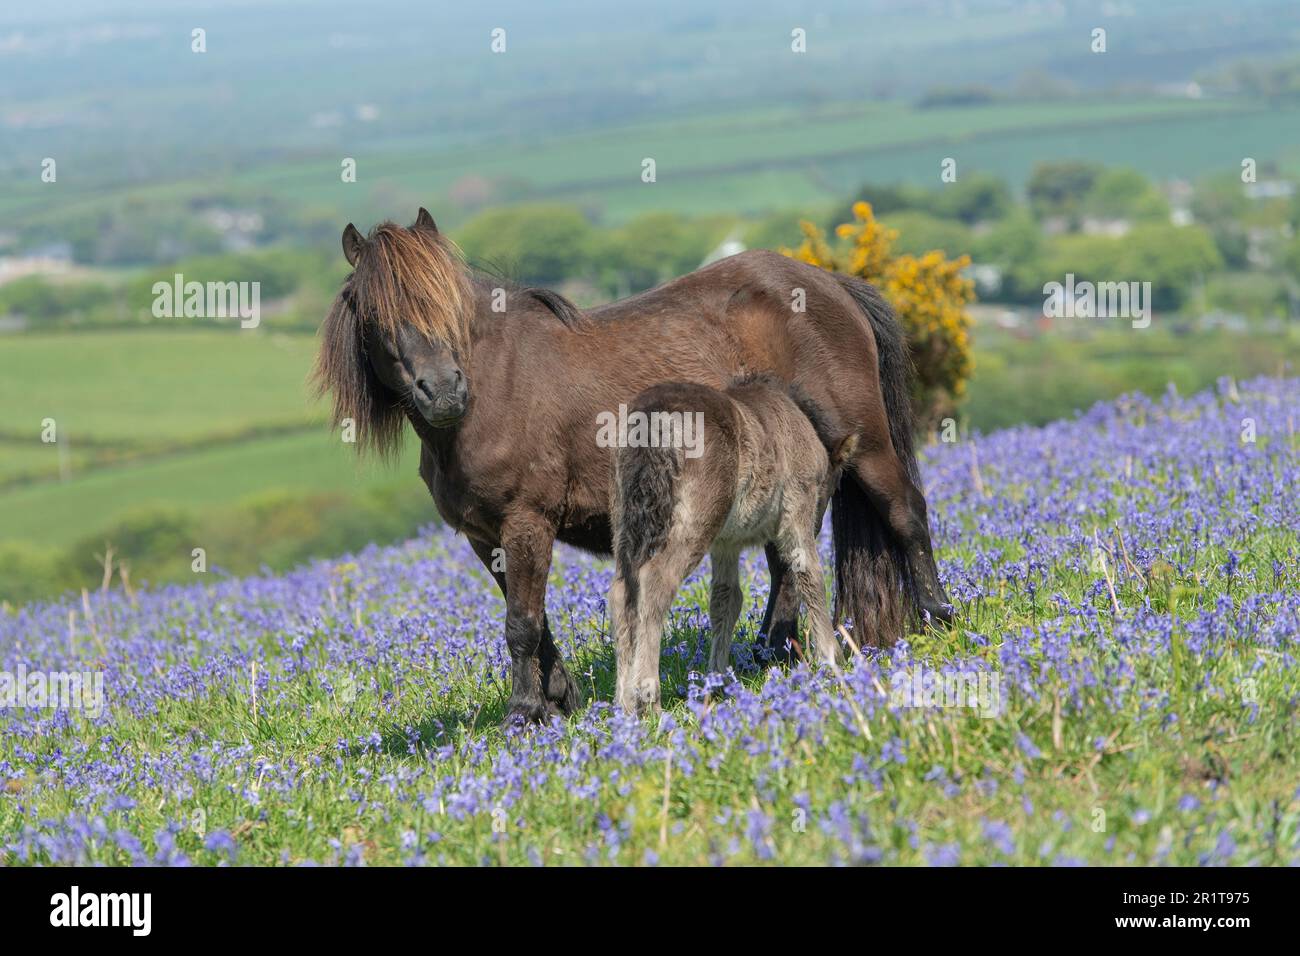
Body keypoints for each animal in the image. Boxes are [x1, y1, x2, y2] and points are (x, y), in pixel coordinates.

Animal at [610, 375, 857, 717]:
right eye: (830, 486)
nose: (820, 524)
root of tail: (652, 418)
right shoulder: (798, 508)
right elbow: (810, 575)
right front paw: (832, 658)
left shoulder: (726, 543)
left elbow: (726, 600)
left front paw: (717, 682)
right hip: (693, 525)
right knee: (656, 582)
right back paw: (650, 699)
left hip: (627, 523)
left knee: (623, 591)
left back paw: (623, 705)